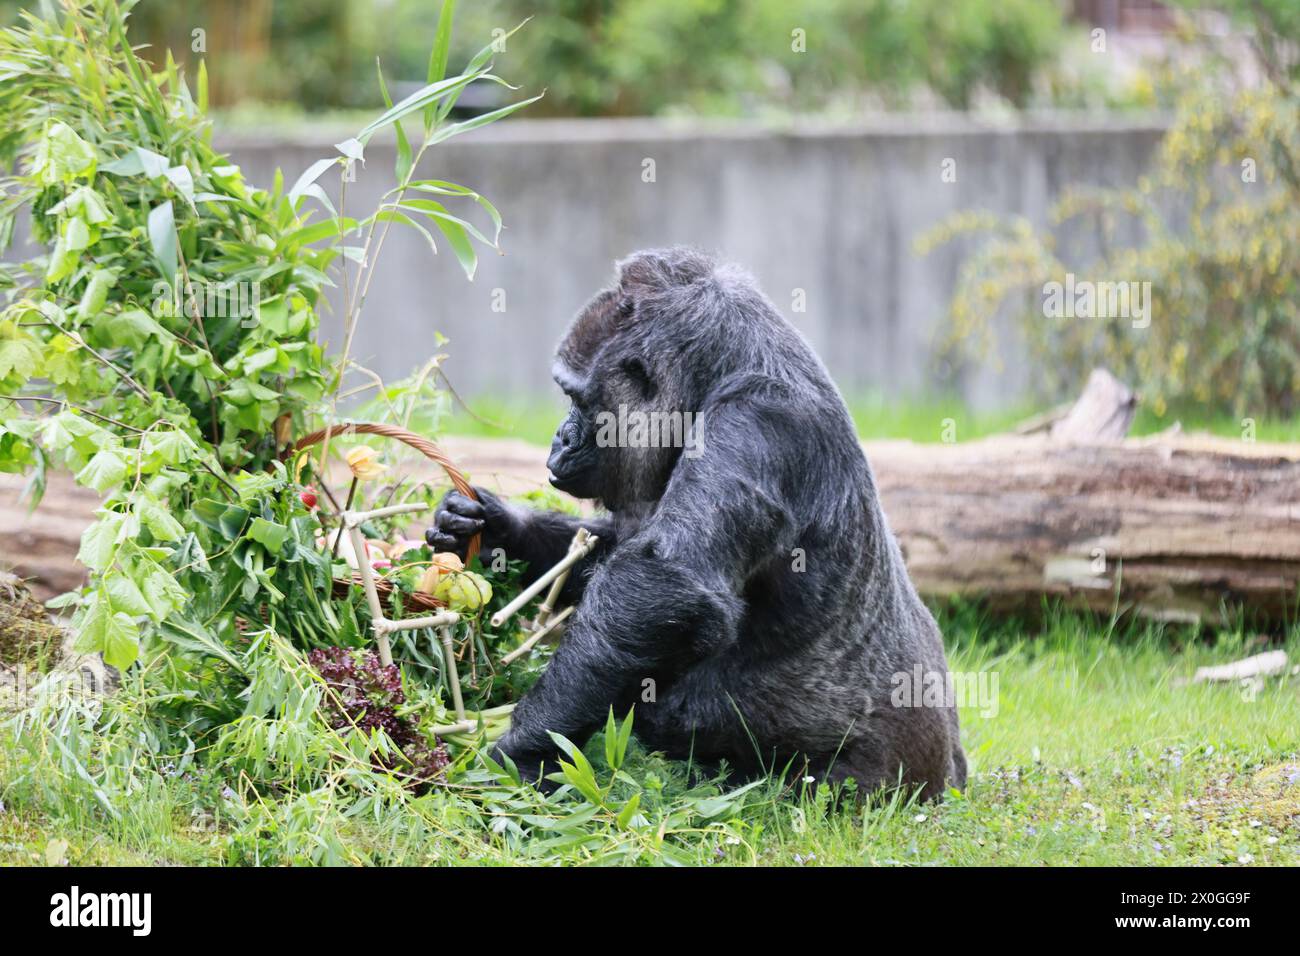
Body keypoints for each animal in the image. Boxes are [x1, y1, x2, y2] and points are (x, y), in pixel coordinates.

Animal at [427, 247, 966, 799]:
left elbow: (666, 585)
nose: (559, 438)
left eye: (575, 397)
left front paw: (524, 751)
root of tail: (948, 780)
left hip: (863, 783)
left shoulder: (756, 424)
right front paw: (492, 526)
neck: (724, 370)